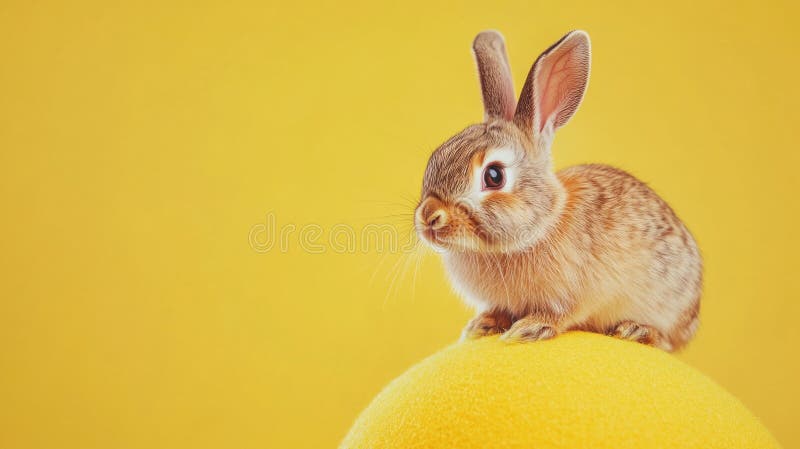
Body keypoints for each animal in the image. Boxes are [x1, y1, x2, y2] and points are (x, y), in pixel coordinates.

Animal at [413, 30, 702, 352]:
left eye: (494, 176)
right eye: (435, 158)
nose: (429, 217)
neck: (541, 224)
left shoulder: (579, 291)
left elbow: (562, 313)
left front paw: (529, 328)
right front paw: (483, 324)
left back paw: (636, 331)